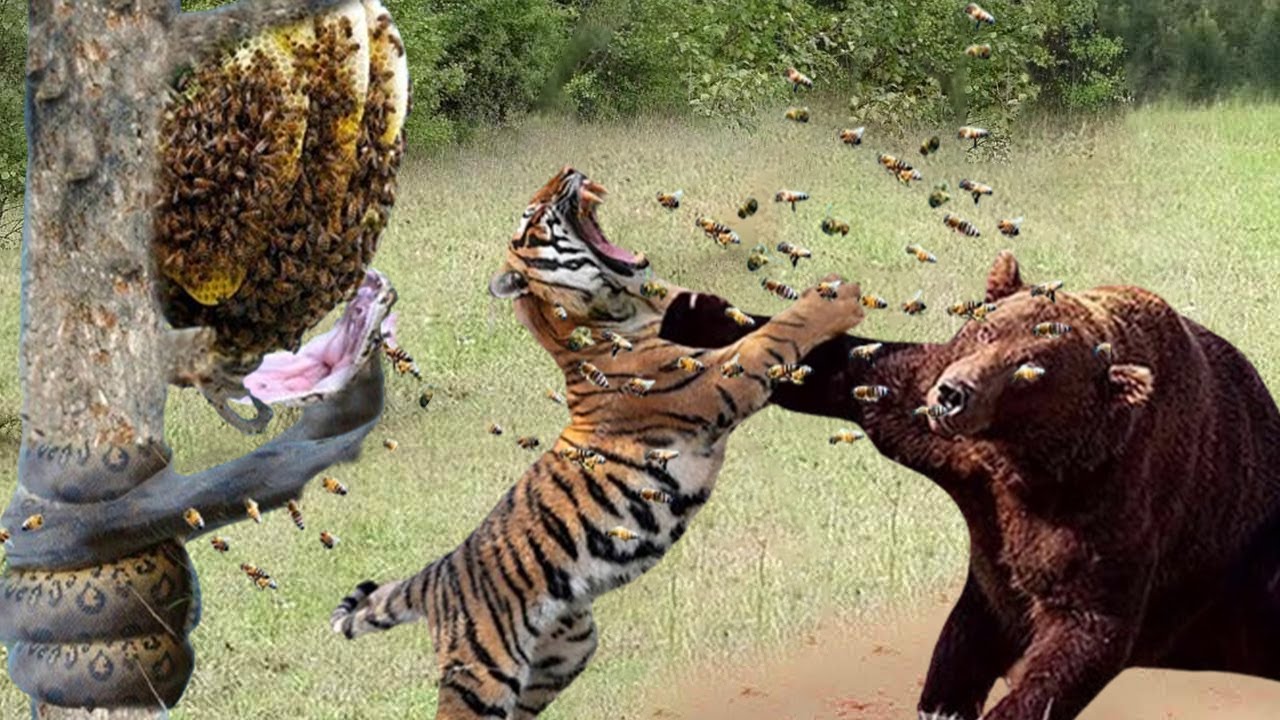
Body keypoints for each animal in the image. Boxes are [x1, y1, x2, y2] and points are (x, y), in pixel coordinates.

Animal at [657, 251, 1280, 720]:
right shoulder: (948, 443)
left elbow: (1083, 631)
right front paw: (695, 311)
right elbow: (855, 372)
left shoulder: (1104, 506)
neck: (1017, 461)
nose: (953, 393)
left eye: (1031, 370)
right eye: (985, 327)